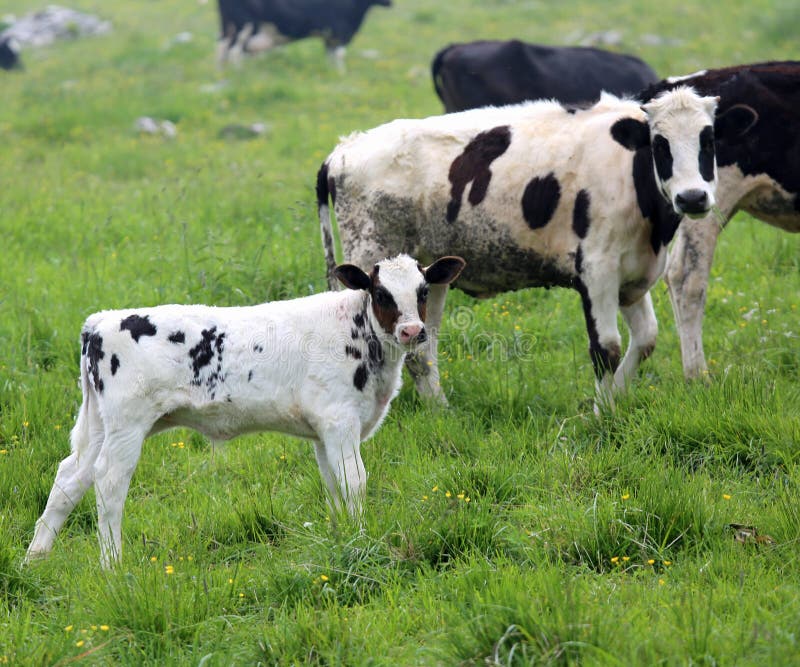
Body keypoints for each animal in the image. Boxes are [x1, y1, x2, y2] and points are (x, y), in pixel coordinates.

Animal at [25, 254, 466, 567]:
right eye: (380, 293)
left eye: (423, 291)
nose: (412, 331)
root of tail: (101, 321)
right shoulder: (340, 420)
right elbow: (353, 480)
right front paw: (362, 537)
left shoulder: (322, 430)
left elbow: (333, 485)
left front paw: (343, 537)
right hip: (126, 425)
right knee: (109, 482)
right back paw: (112, 566)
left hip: (99, 424)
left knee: (69, 478)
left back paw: (35, 559)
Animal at [216, 0, 392, 70]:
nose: (390, 3)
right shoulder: (339, 30)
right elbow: (339, 55)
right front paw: (341, 74)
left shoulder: (330, 36)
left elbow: (330, 55)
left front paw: (331, 71)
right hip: (244, 25)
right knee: (234, 52)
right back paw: (239, 74)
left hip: (228, 26)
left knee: (221, 50)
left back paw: (222, 74)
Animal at [318, 87, 753, 408]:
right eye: (659, 143)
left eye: (708, 140)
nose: (692, 197)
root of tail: (343, 149)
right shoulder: (597, 270)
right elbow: (607, 348)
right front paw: (602, 414)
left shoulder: (631, 275)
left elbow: (645, 340)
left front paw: (617, 398)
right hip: (369, 257)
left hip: (426, 276)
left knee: (422, 350)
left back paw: (440, 410)